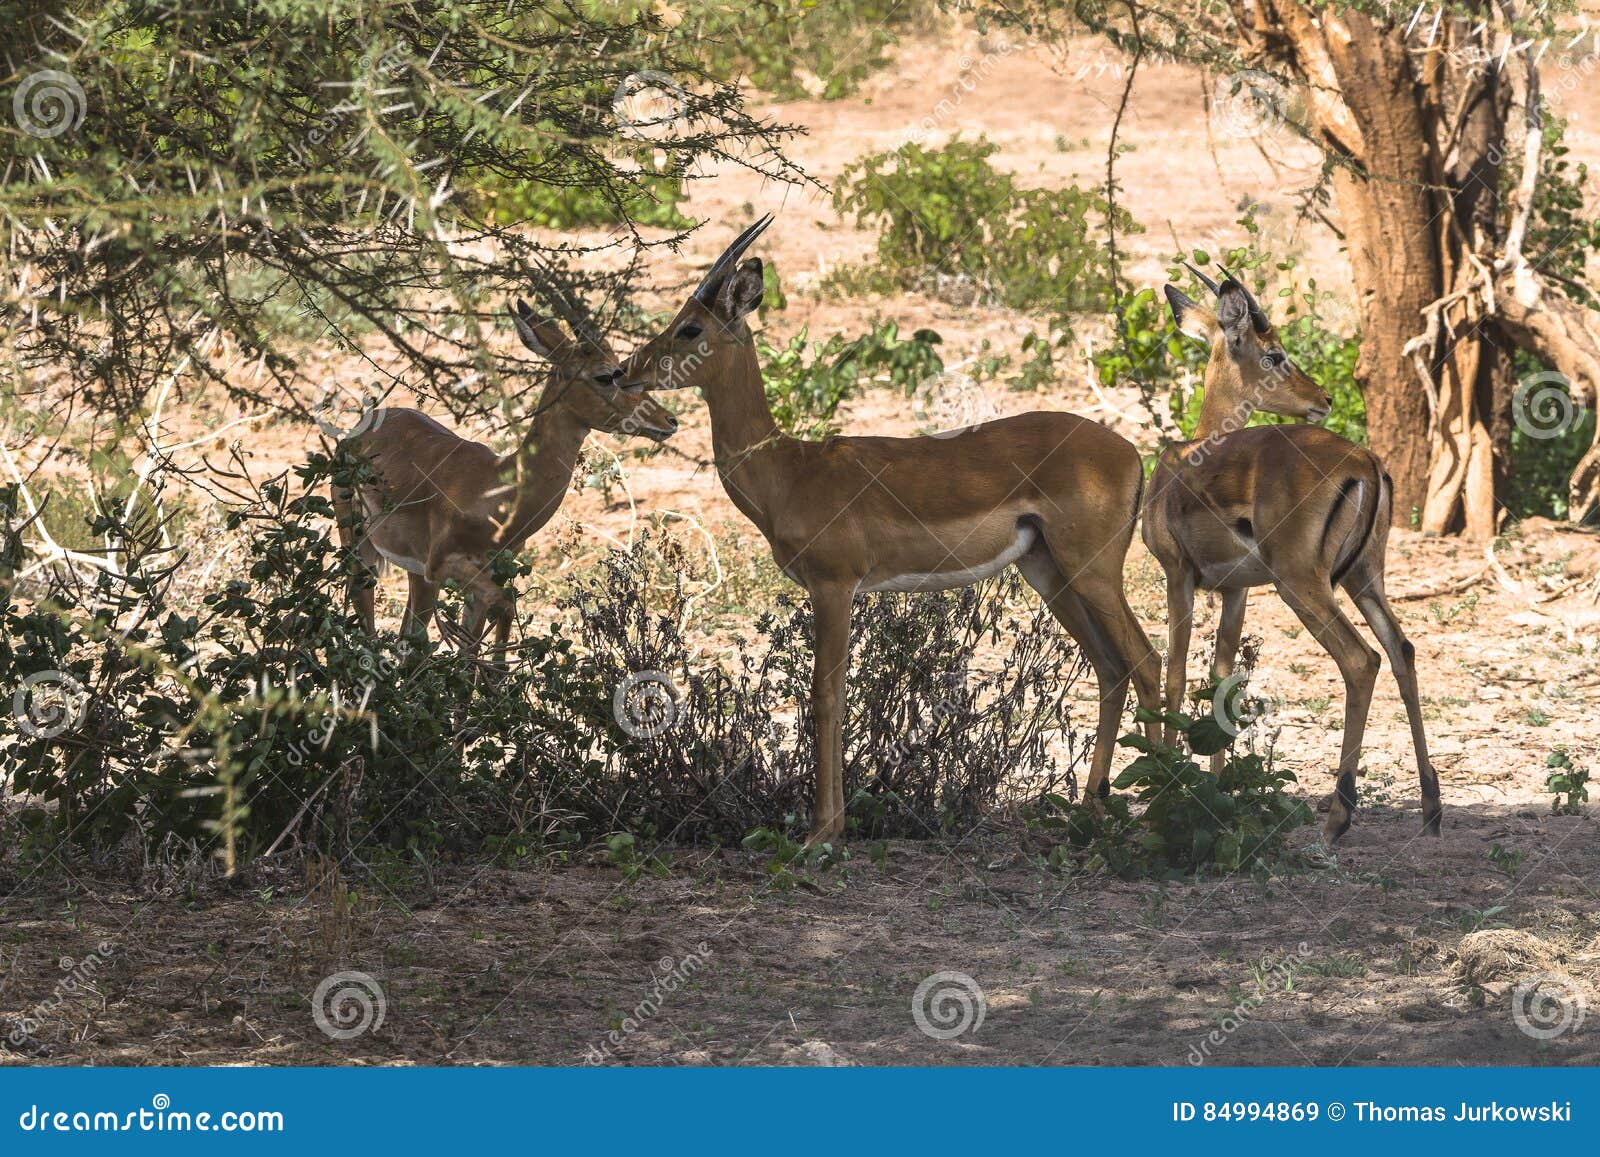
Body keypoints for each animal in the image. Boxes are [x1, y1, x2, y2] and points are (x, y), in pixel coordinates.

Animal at [332, 298, 679, 654]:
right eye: (605, 375)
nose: (669, 420)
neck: (498, 490)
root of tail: (367, 422)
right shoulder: (443, 568)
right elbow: (501, 613)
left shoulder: (488, 576)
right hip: (363, 549)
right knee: (370, 620)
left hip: (415, 573)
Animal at [625, 215, 1161, 843]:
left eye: (690, 327)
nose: (626, 372)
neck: (791, 471)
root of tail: (1131, 453)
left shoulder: (833, 587)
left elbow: (826, 693)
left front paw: (821, 833)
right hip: (1050, 573)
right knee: (1111, 668)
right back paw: (1092, 809)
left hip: (1093, 571)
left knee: (1146, 661)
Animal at [1144, 265, 1441, 843]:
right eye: (1274, 353)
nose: (1322, 397)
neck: (1186, 459)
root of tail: (1366, 461)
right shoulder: (1234, 590)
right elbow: (1221, 679)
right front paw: (1220, 789)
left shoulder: (1179, 576)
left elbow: (1175, 672)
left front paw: (1166, 793)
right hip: (1364, 579)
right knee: (1402, 650)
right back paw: (1431, 807)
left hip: (1301, 585)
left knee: (1362, 660)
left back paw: (1339, 818)